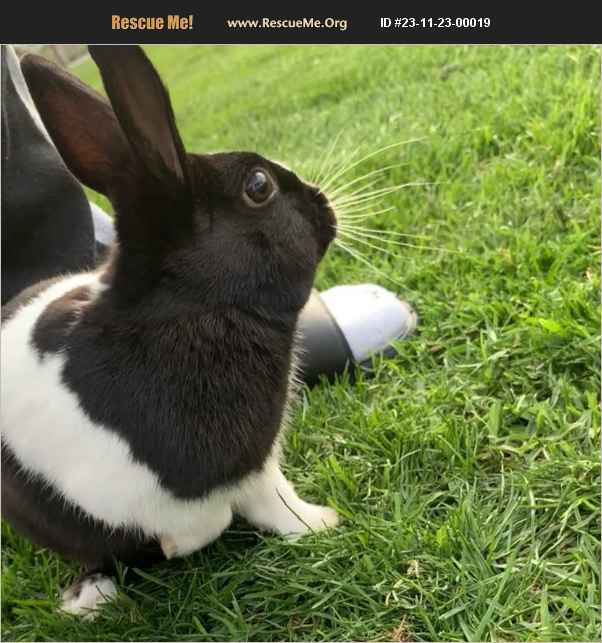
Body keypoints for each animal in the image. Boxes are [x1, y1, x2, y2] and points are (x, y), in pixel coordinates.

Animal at [1, 45, 339, 617]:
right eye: (259, 186)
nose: (324, 204)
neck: (194, 313)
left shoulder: (257, 464)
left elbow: (274, 502)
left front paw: (320, 525)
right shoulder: (108, 489)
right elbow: (200, 521)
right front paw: (176, 545)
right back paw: (90, 596)